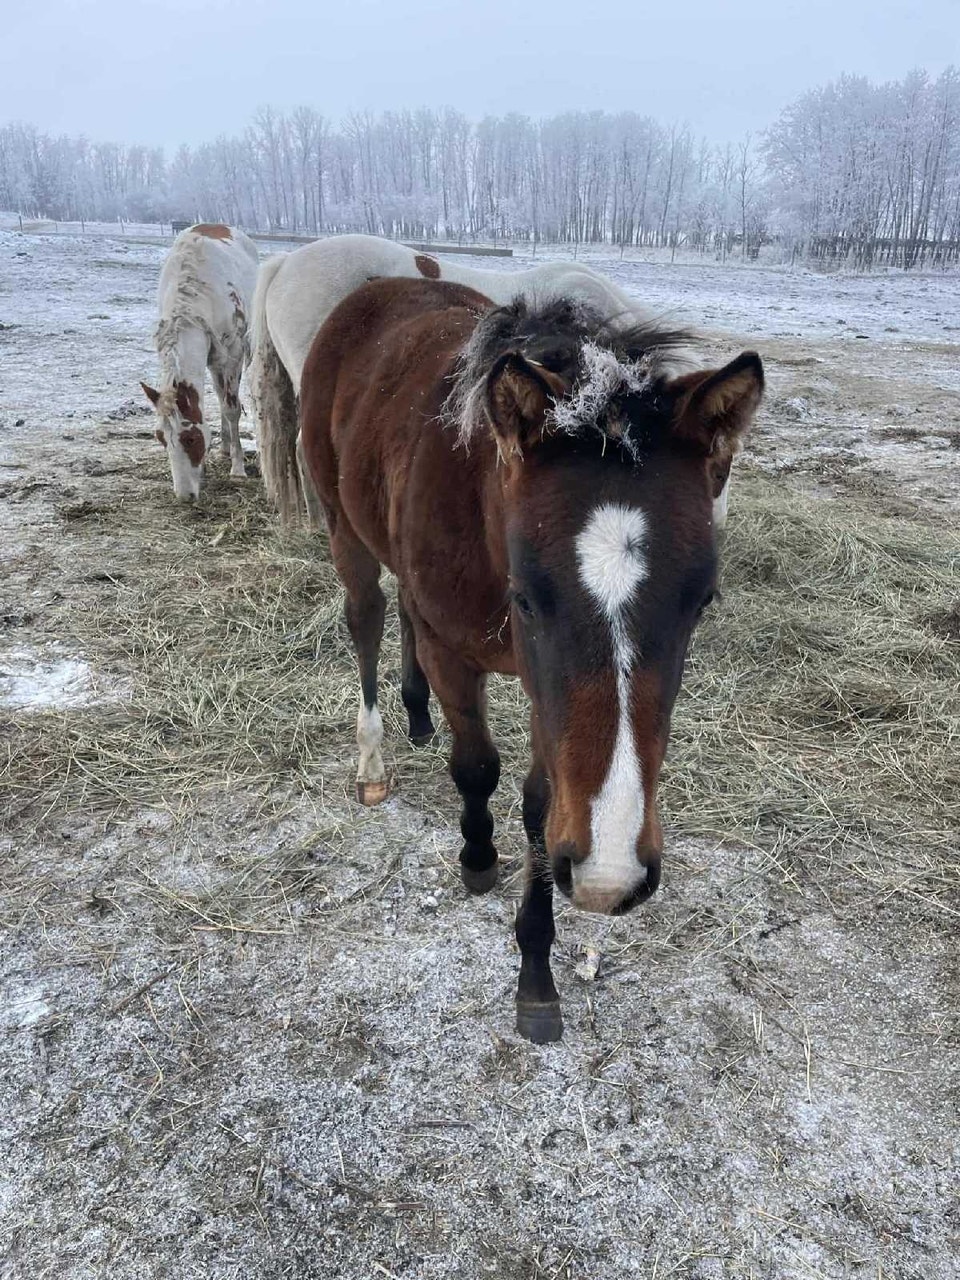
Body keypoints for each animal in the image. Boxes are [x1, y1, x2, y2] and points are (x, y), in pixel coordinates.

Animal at [140, 223, 259, 501]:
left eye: (191, 439)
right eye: (161, 438)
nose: (185, 496)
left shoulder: (232, 353)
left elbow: (231, 408)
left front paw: (238, 468)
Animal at [299, 276, 763, 1042]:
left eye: (703, 600)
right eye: (527, 595)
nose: (611, 874)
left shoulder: (547, 699)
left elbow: (543, 805)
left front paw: (537, 972)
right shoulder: (460, 653)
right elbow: (476, 767)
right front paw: (479, 859)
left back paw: (417, 715)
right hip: (344, 528)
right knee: (367, 616)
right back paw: (373, 759)